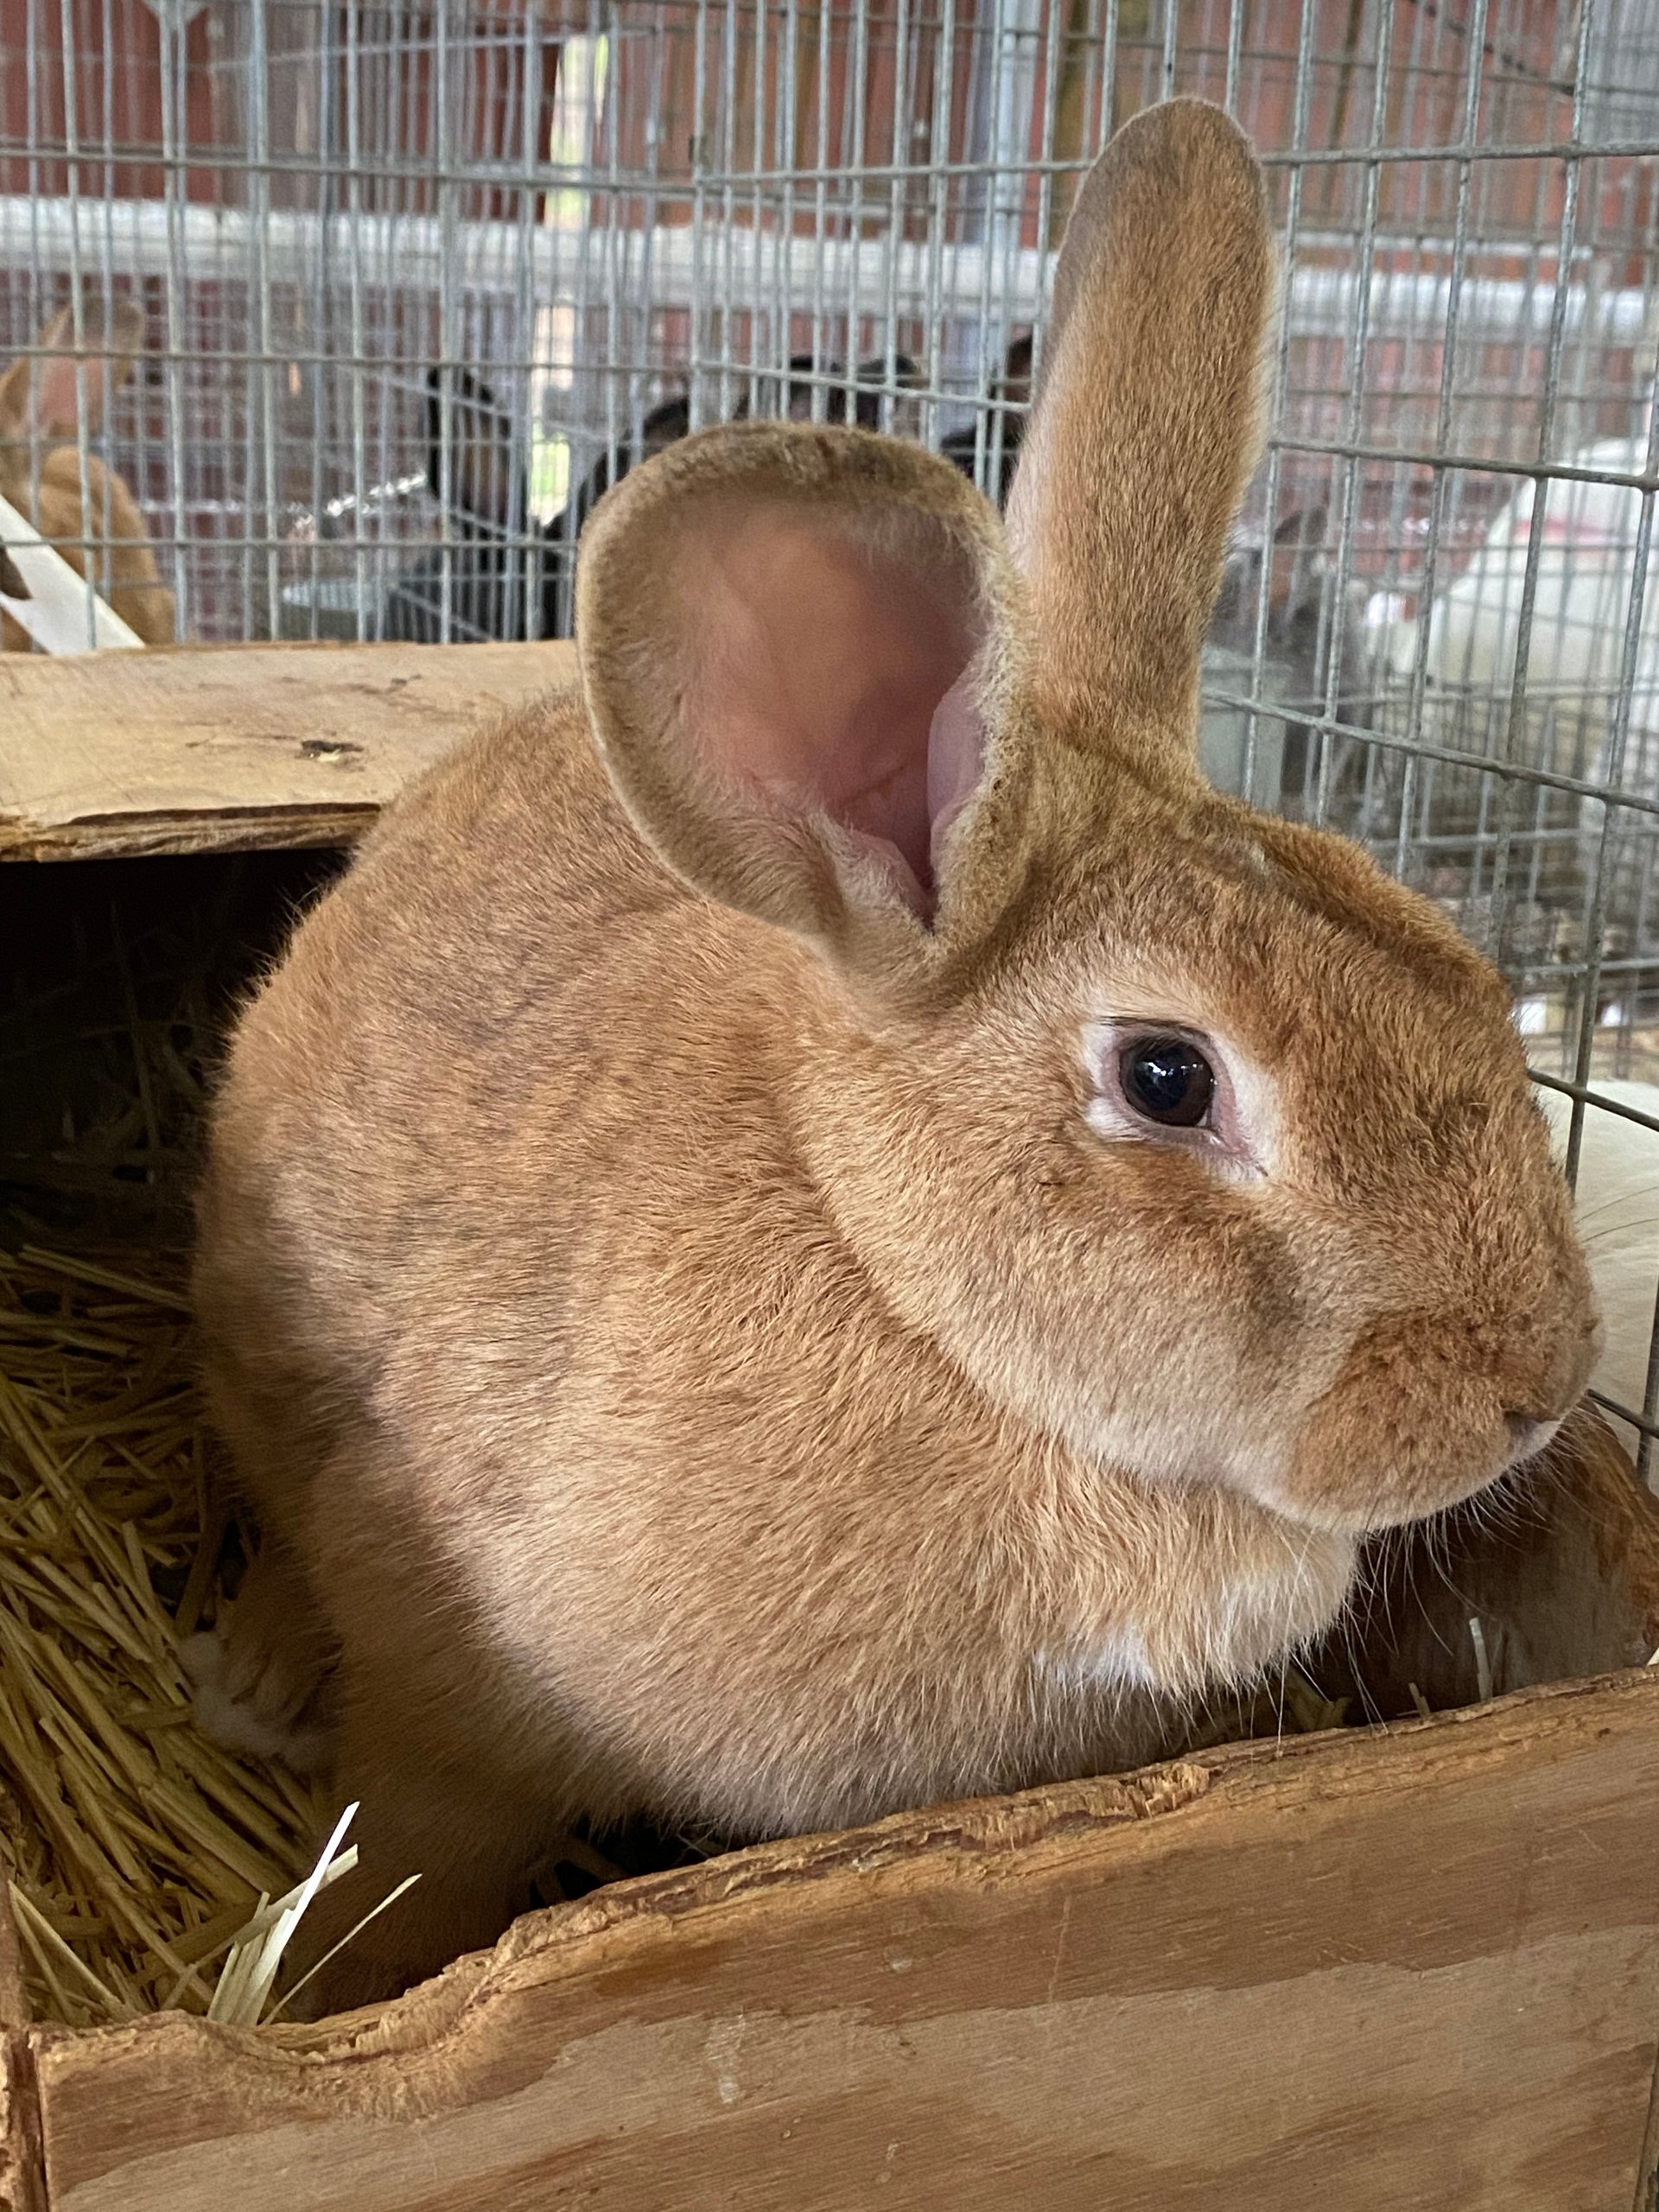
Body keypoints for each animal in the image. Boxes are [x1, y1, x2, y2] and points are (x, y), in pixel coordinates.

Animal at [191, 99, 1595, 2015]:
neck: (911, 1294)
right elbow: (417, 1847)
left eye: (1454, 960)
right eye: (1169, 1078)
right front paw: (318, 1998)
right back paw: (248, 1676)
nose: (1544, 1386)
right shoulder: (451, 1689)